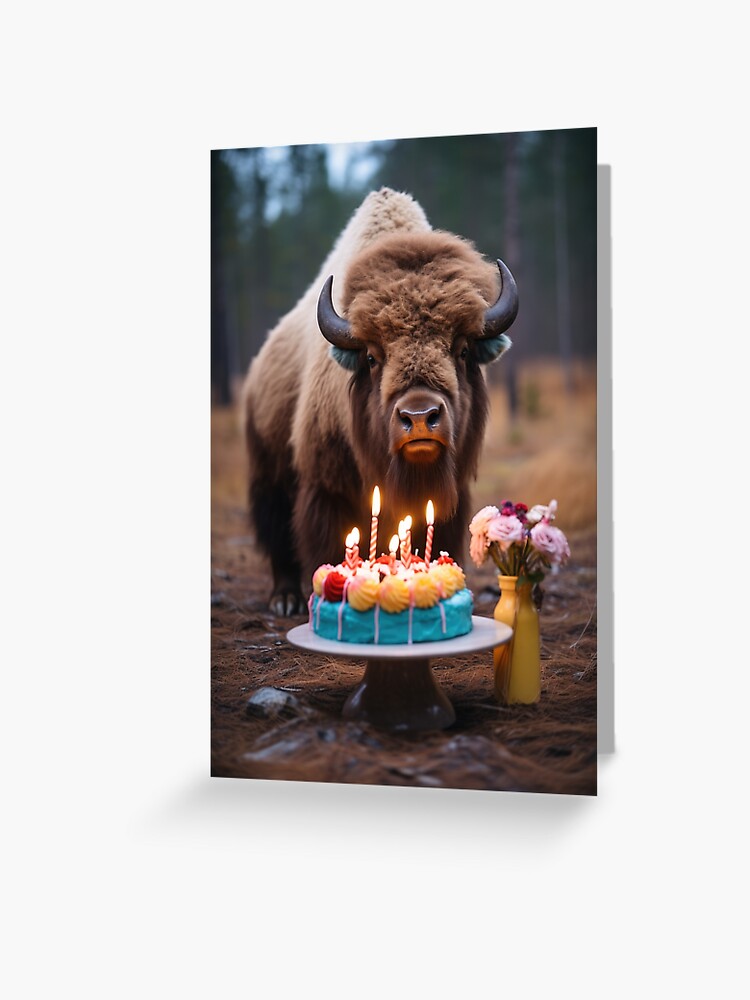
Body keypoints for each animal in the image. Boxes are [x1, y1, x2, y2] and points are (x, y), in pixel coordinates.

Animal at [242, 187, 518, 615]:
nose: (419, 417)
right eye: (372, 357)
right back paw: (285, 600)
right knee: (277, 537)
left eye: (463, 350)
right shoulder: (326, 489)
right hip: (270, 474)